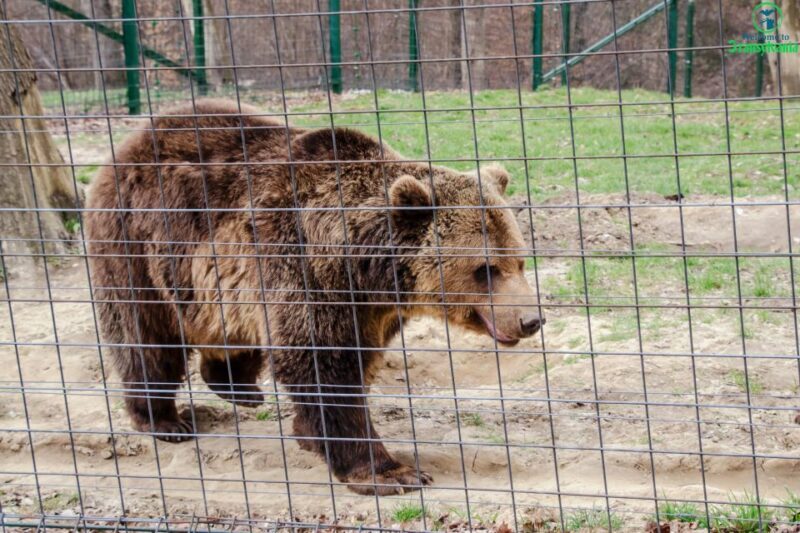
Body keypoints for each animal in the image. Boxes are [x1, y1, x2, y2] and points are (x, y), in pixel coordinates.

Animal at [85, 100, 544, 495]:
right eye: (486, 269)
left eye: (520, 261)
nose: (530, 319)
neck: (363, 264)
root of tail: (130, 141)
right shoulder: (302, 268)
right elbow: (324, 367)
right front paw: (389, 473)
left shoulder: (369, 309)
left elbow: (352, 360)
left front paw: (310, 436)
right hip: (137, 243)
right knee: (145, 334)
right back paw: (164, 420)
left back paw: (240, 388)